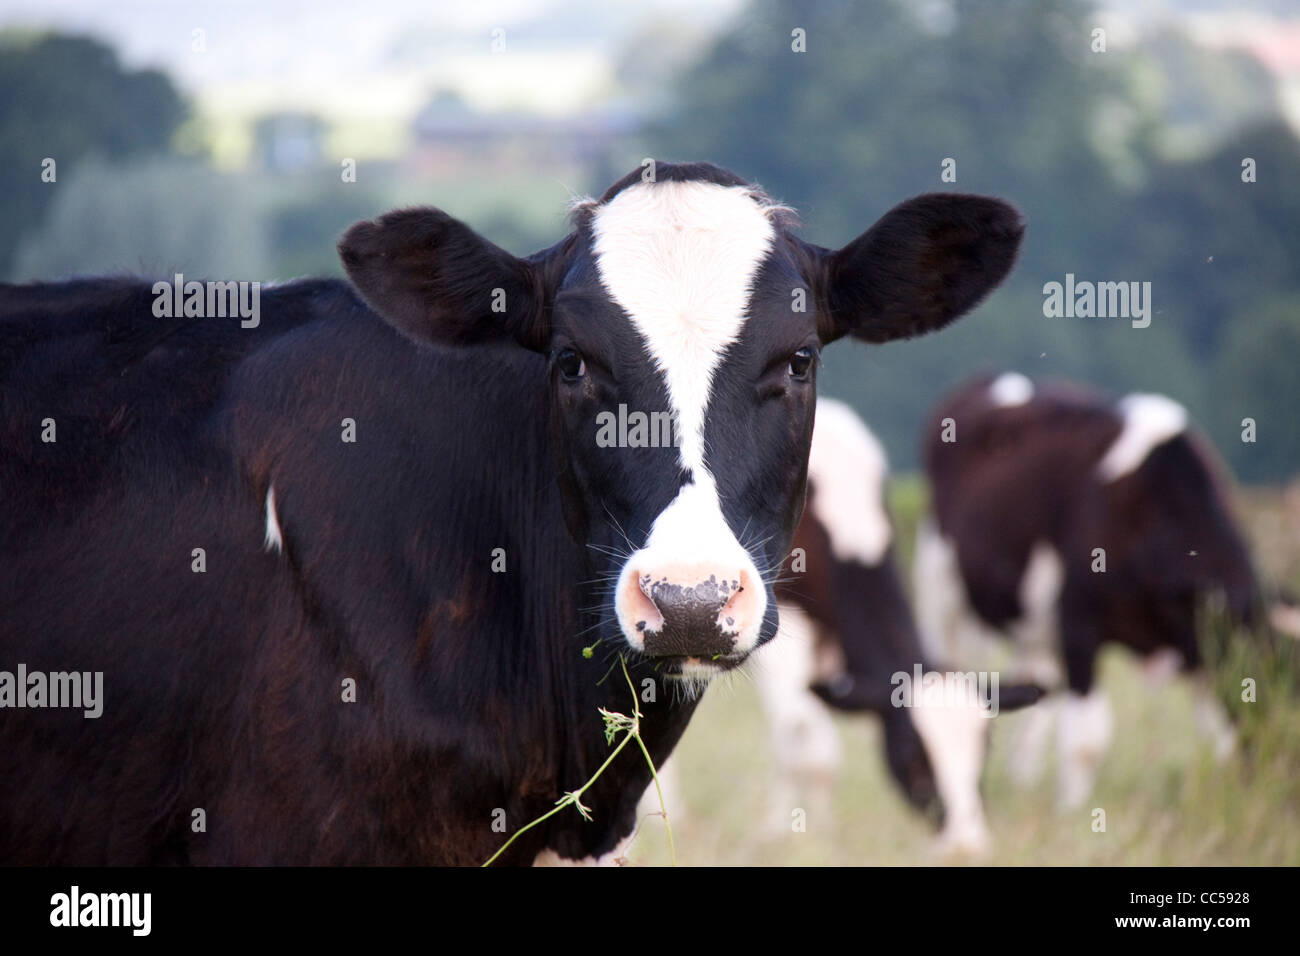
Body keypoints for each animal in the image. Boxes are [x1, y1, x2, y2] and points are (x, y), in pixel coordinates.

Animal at [915, 372, 1257, 810]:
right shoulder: (1079, 623)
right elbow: (1086, 741)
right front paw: (1071, 811)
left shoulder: (1197, 647)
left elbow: (1217, 736)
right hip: (943, 601)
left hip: (1034, 631)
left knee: (1034, 689)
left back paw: (1023, 780)